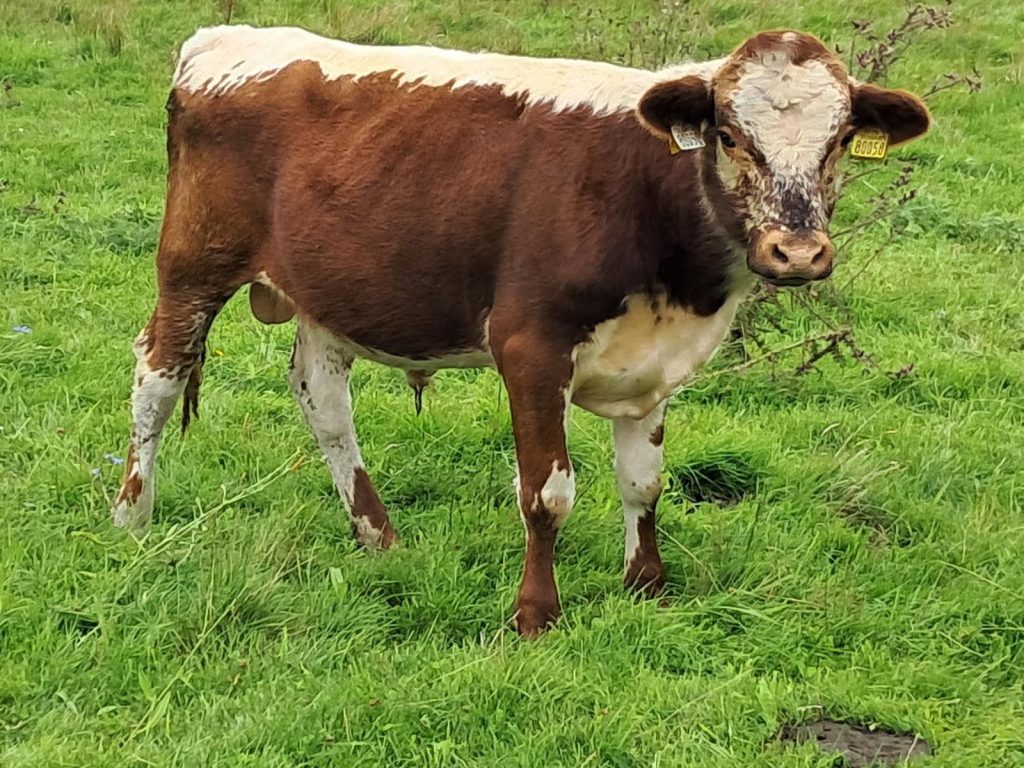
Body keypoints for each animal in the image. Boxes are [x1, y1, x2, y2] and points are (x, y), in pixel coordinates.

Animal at [112, 24, 929, 635]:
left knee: (324, 404)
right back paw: (132, 518)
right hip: (192, 265)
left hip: (327, 293)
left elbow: (645, 481)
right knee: (156, 378)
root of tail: (226, 36)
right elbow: (547, 492)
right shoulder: (530, 347)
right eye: (728, 134)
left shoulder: (653, 364)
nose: (798, 251)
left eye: (841, 138)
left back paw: (378, 537)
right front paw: (536, 614)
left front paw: (648, 585)